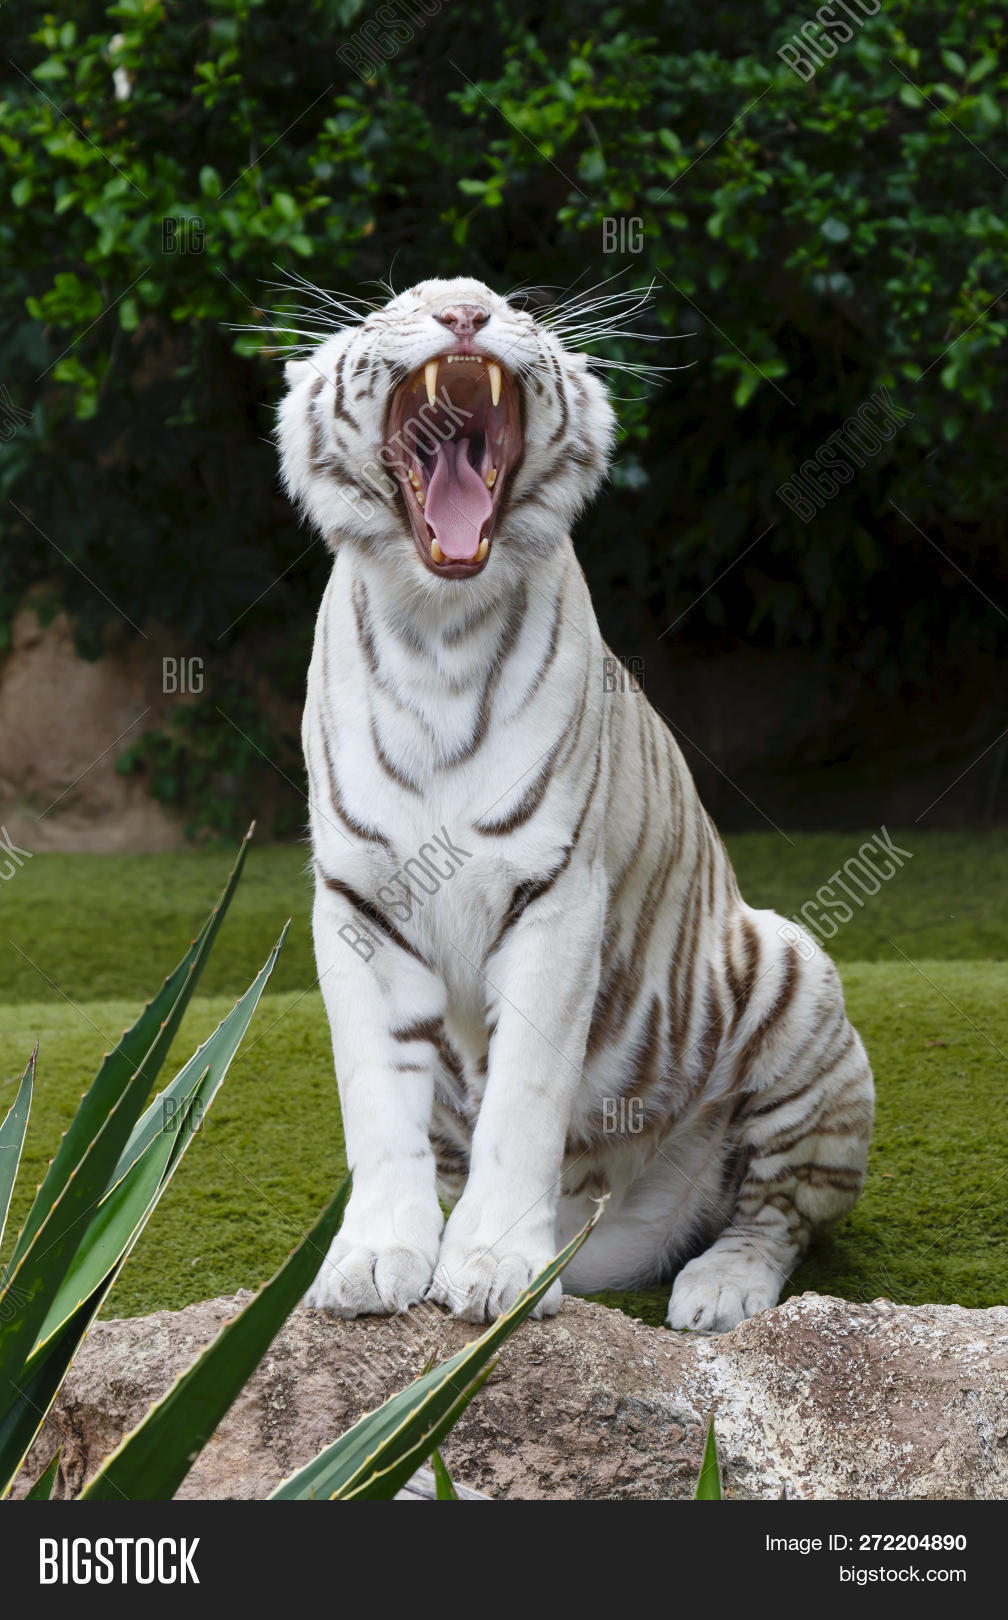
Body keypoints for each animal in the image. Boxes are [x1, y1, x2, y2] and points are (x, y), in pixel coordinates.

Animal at [277, 275, 874, 1332]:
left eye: (504, 304)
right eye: (402, 304)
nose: (465, 311)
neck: (438, 630)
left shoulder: (554, 892)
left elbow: (524, 1096)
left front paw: (495, 1266)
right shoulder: (358, 903)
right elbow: (376, 1099)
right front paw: (379, 1257)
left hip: (796, 983)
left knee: (776, 1211)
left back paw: (716, 1289)